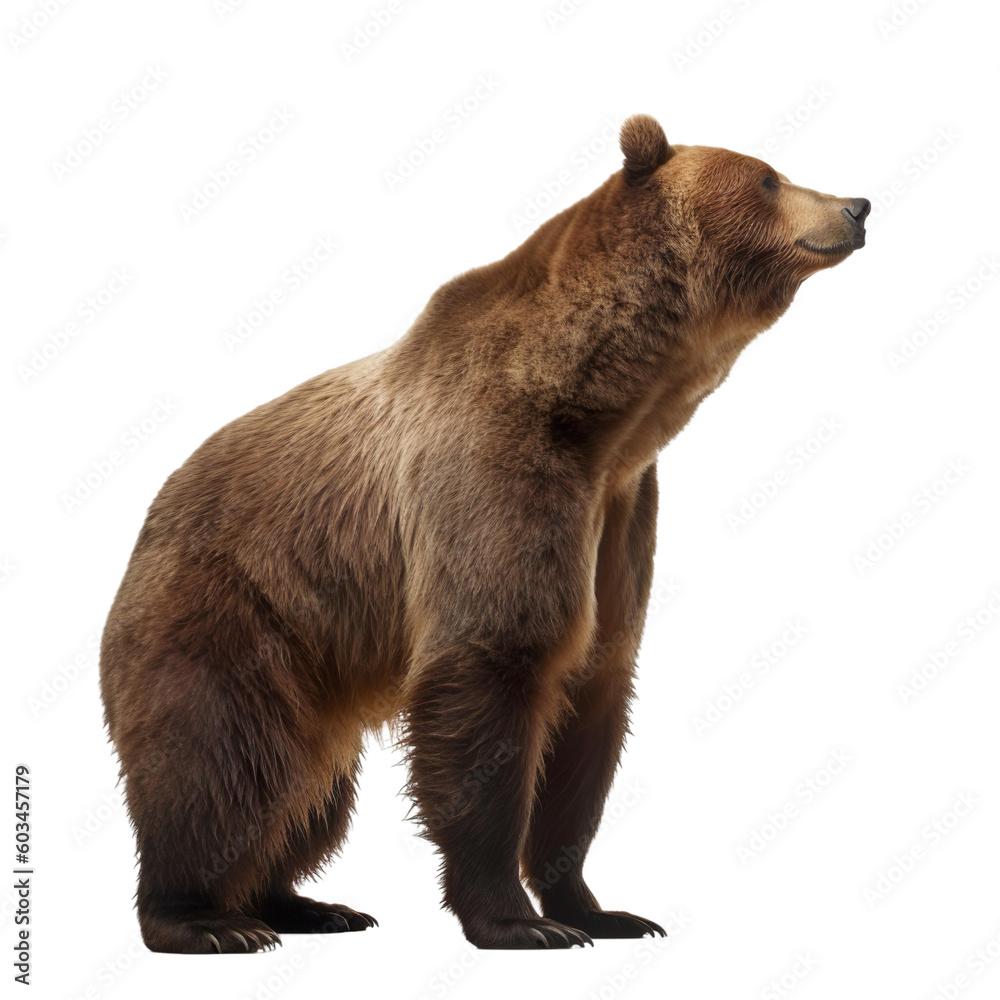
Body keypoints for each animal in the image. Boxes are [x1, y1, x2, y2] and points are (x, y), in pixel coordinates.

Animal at [99, 113, 869, 952]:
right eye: (767, 177)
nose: (857, 205)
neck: (606, 416)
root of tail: (152, 512)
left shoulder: (620, 518)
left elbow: (590, 707)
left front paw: (599, 908)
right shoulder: (494, 477)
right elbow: (496, 668)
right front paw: (518, 920)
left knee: (312, 787)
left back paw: (306, 905)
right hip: (235, 608)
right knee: (221, 761)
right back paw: (204, 918)